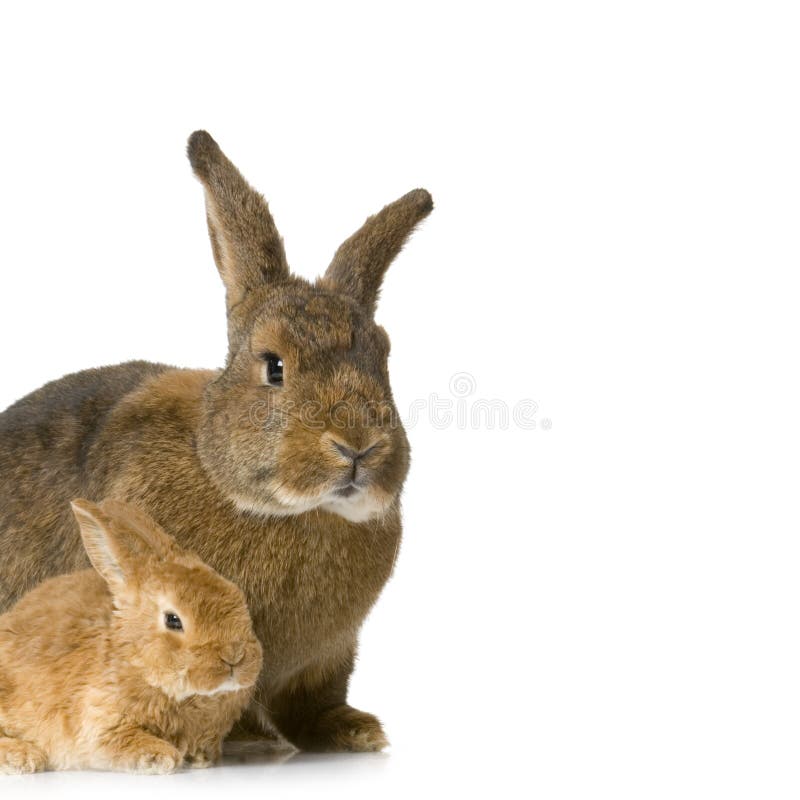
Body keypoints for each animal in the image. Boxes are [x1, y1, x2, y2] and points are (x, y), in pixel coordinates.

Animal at [0, 498, 263, 774]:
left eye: (238, 597)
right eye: (173, 620)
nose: (234, 657)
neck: (135, 660)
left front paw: (201, 759)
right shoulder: (101, 725)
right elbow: (126, 742)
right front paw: (163, 757)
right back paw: (24, 757)